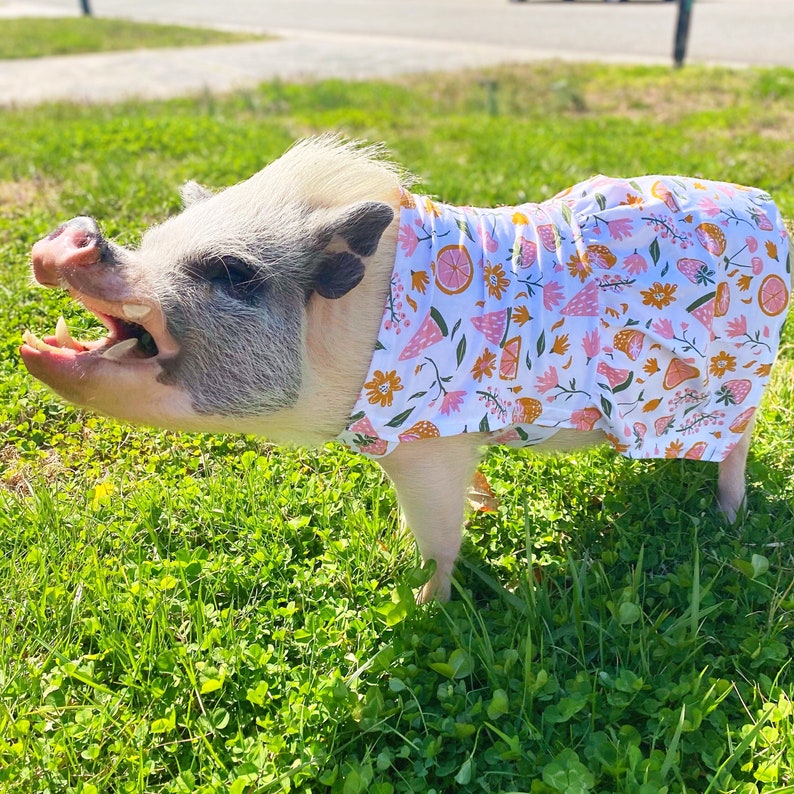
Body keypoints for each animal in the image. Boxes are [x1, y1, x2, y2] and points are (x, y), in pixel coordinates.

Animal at [22, 136, 791, 602]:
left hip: (737, 383)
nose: (76, 235)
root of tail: (765, 205)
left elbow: (441, 538)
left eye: (233, 273)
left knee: (738, 445)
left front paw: (422, 602)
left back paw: (727, 517)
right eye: (152, 239)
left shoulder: (430, 446)